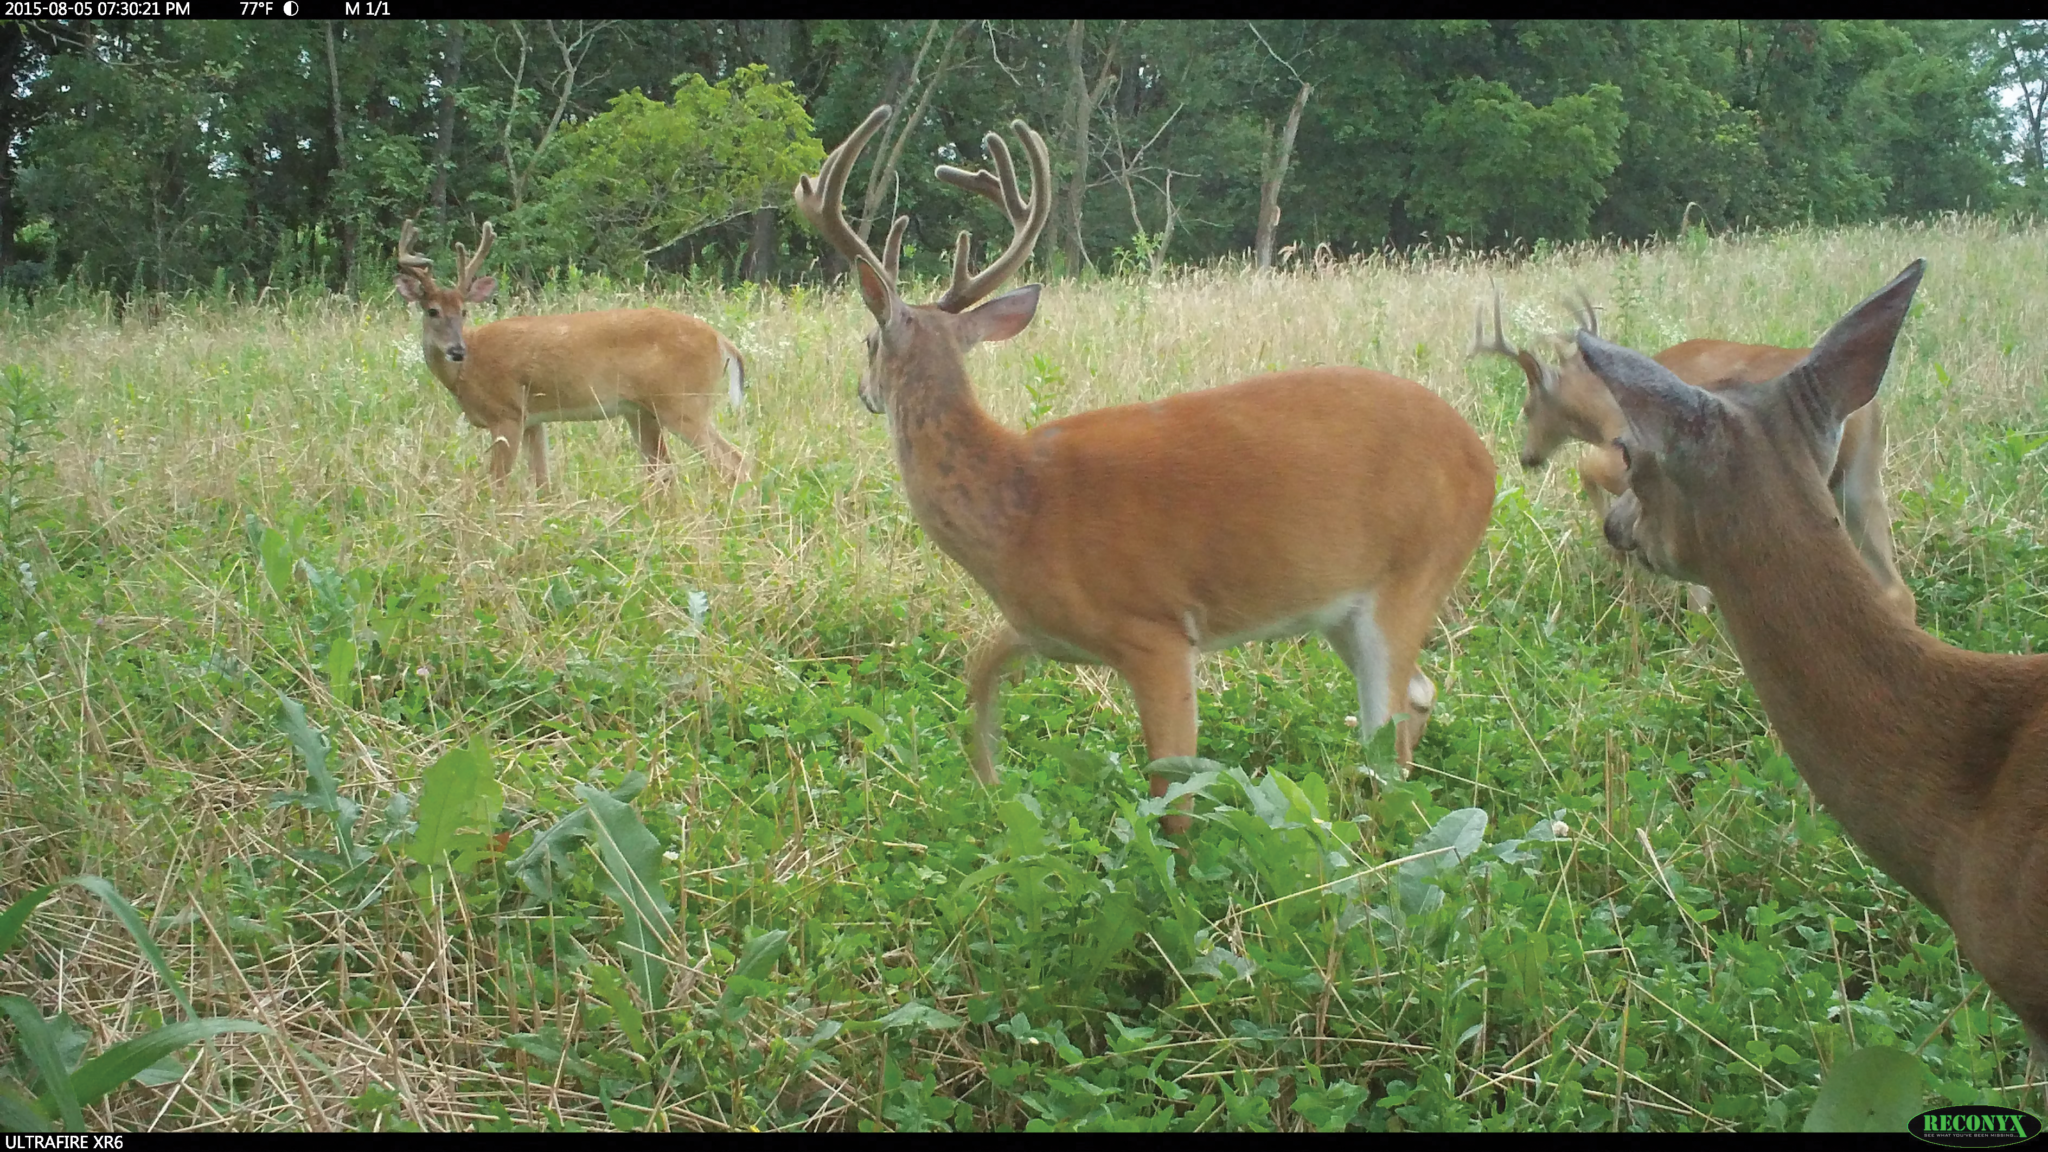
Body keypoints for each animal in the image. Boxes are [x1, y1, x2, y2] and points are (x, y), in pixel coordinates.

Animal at [393, 218, 750, 491]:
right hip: (644, 411)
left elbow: (497, 483)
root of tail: (722, 341)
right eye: (432, 311)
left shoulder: (506, 413)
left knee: (735, 461)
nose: (456, 350)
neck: (468, 371)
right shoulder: (532, 419)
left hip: (683, 402)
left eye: (464, 311)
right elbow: (542, 481)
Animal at [794, 105, 1496, 836]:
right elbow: (978, 675)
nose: (862, 392)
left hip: (1413, 573)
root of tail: (1485, 461)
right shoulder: (1042, 628)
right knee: (1420, 695)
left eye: (868, 342)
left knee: (1387, 736)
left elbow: (1173, 790)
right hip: (1343, 609)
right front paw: (992, 787)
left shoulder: (1154, 631)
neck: (1017, 502)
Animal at [1473, 292, 1914, 624]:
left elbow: (1587, 469)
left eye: (1527, 407)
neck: (1603, 411)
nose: (1527, 457)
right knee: (1897, 589)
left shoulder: (1631, 460)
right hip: (1860, 482)